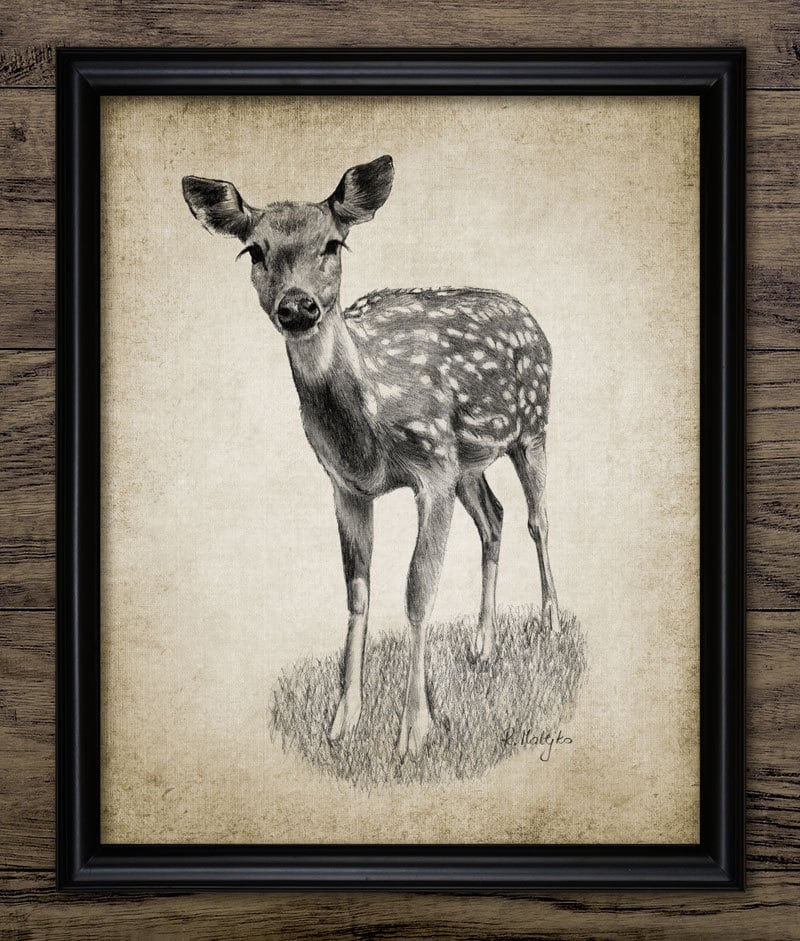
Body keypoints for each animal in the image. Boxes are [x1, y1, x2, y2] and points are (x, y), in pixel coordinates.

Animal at [182, 156, 559, 758]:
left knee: (537, 518)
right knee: (495, 518)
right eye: (254, 250)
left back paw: (549, 623)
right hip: (469, 463)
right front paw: (343, 721)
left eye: (334, 244)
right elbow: (357, 593)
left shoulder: (432, 469)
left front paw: (413, 732)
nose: (298, 306)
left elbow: (418, 591)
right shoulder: (348, 485)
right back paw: (482, 644)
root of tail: (529, 314)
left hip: (533, 426)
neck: (366, 425)